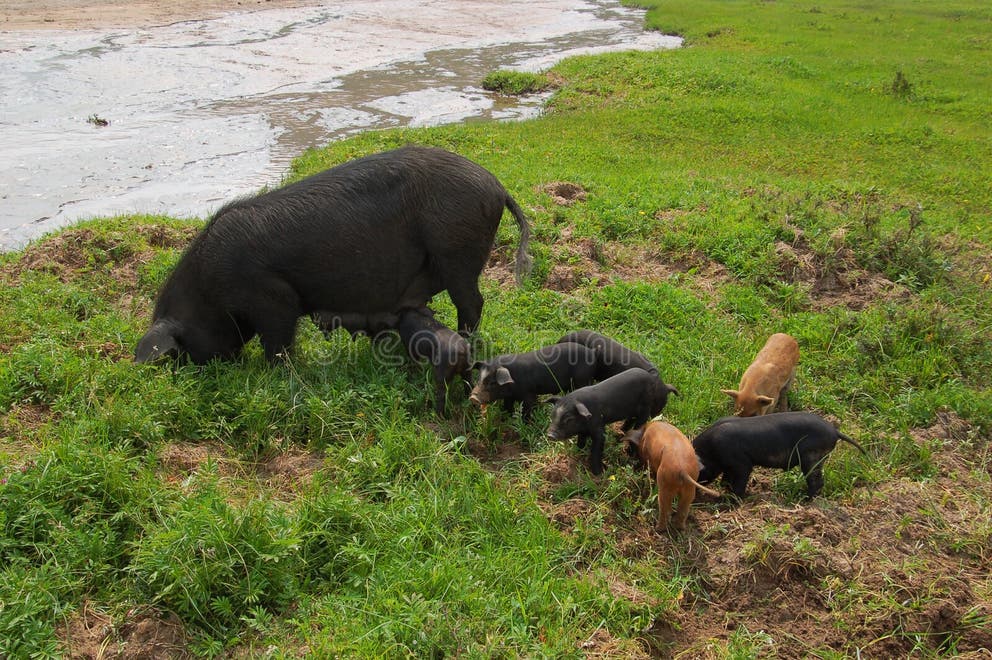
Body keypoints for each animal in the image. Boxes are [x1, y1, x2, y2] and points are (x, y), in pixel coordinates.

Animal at [135, 145, 532, 364]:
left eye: (182, 345)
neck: (207, 290)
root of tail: (497, 186)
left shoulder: (274, 297)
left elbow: (278, 339)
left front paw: (275, 370)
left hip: (456, 252)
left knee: (473, 301)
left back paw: (469, 340)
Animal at [469, 342, 598, 421]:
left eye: (492, 382)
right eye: (479, 378)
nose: (473, 397)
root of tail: (591, 353)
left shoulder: (529, 394)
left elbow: (527, 410)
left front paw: (526, 423)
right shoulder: (509, 397)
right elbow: (507, 407)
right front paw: (507, 418)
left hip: (583, 379)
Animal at [545, 368, 679, 475]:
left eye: (569, 419)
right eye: (553, 415)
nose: (550, 435)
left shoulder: (599, 428)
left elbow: (596, 449)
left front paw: (598, 474)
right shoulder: (583, 431)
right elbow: (581, 441)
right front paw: (578, 452)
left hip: (646, 407)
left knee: (640, 424)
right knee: (630, 420)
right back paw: (620, 433)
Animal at [692, 411, 868, 499]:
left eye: (699, 473)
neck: (710, 452)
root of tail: (834, 431)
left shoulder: (741, 463)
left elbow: (741, 479)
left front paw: (731, 498)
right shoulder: (729, 466)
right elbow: (726, 477)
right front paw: (725, 488)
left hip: (811, 456)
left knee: (816, 481)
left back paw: (805, 499)